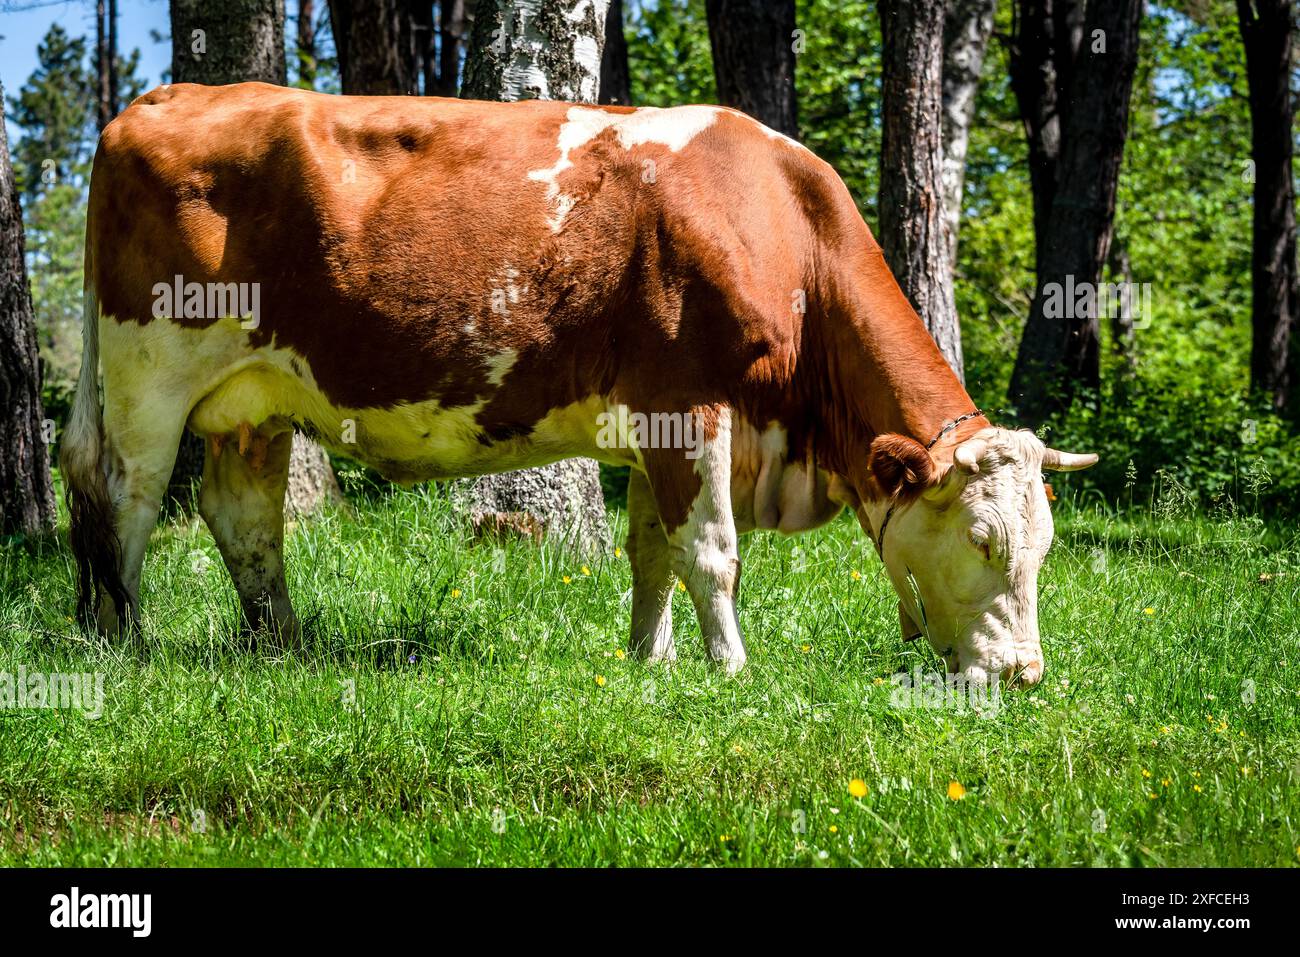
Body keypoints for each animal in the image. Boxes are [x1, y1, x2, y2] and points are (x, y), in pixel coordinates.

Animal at [62, 82, 1097, 688]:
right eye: (984, 538)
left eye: (1047, 544)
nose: (1026, 673)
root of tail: (160, 96)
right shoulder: (690, 406)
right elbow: (712, 551)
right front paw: (730, 668)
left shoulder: (649, 427)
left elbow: (653, 553)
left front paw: (649, 660)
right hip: (148, 373)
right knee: (126, 497)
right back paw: (126, 645)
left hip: (255, 397)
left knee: (243, 518)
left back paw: (282, 645)